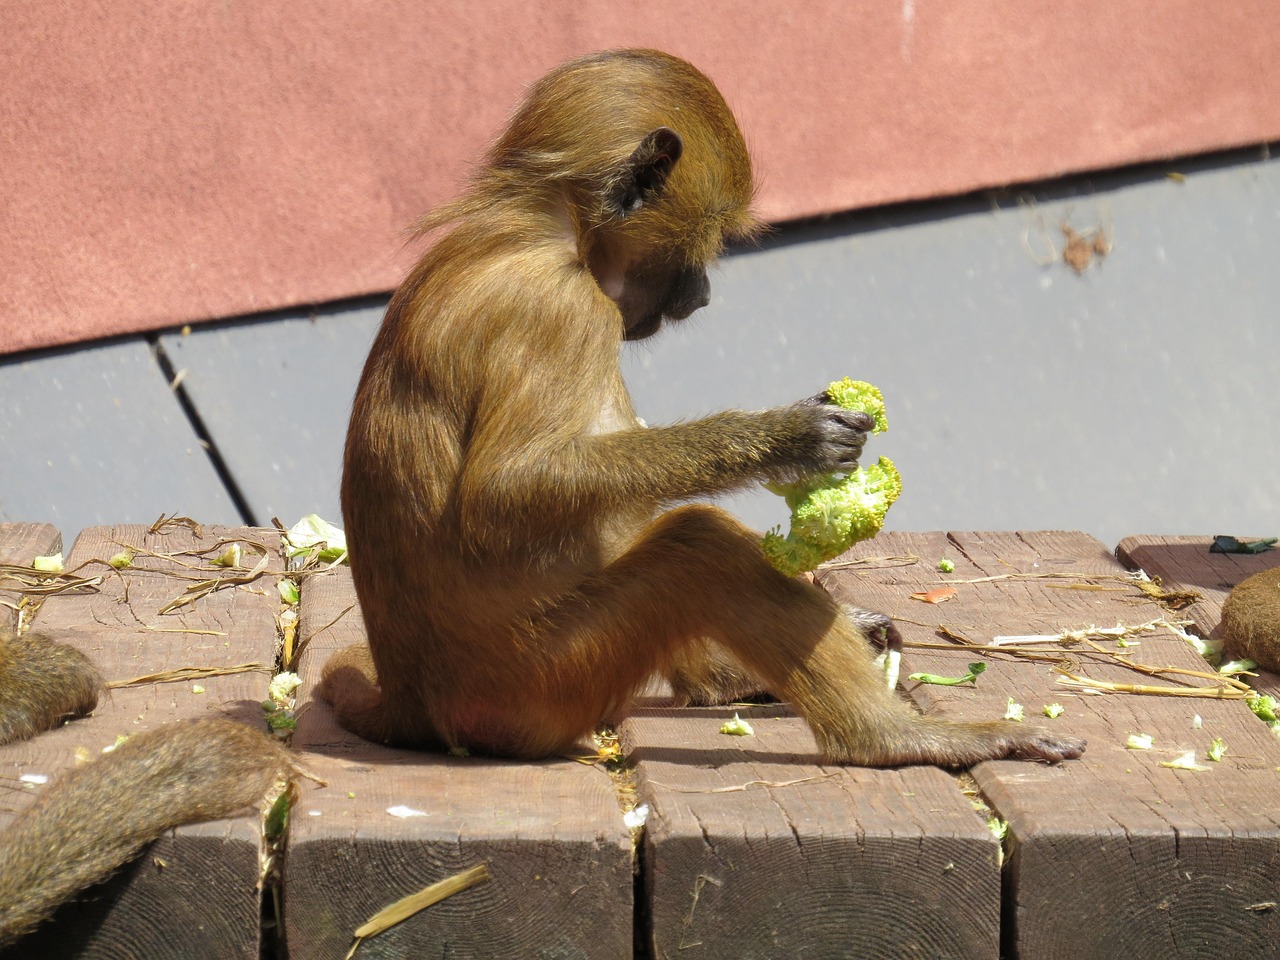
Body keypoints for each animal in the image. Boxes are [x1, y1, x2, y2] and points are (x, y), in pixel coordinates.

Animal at [320, 48, 1085, 768]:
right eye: (708, 239)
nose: (702, 297)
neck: (537, 224)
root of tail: (415, 702)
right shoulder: (561, 307)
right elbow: (502, 493)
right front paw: (785, 438)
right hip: (535, 690)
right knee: (698, 551)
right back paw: (886, 737)